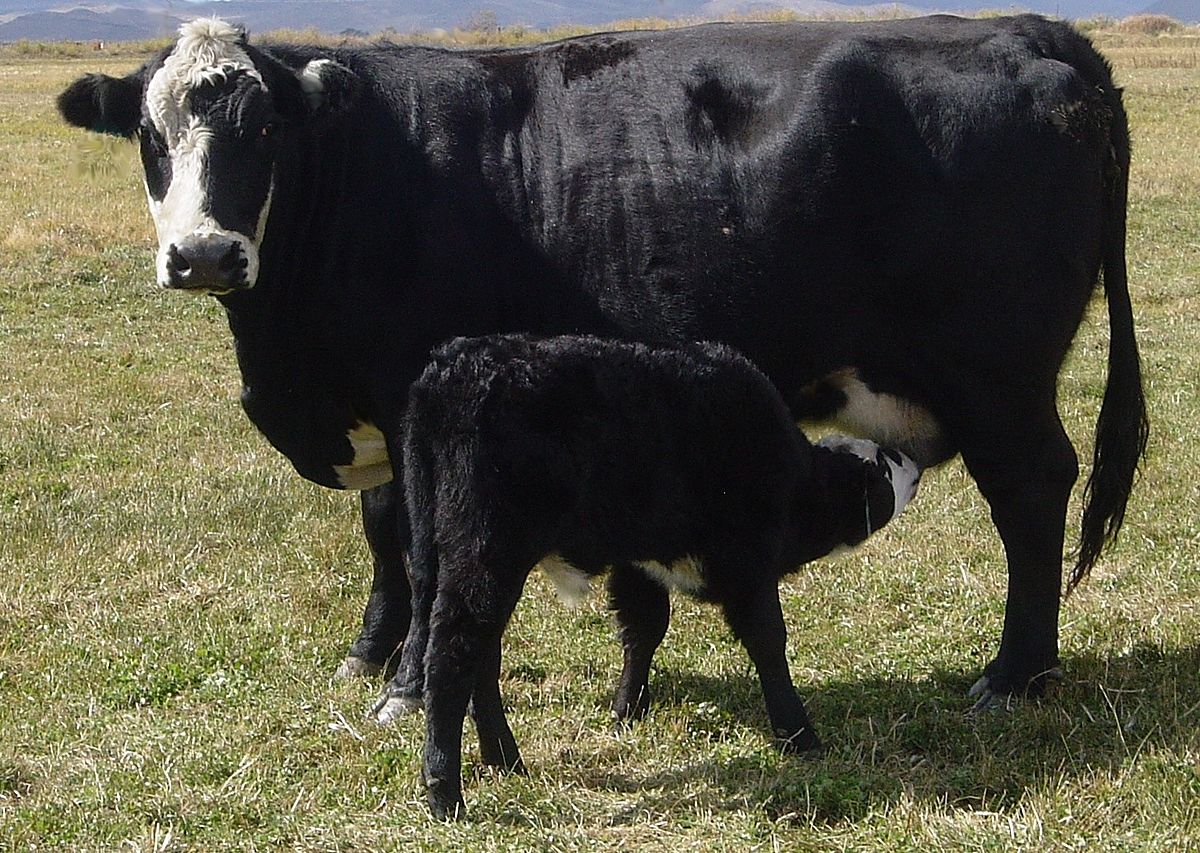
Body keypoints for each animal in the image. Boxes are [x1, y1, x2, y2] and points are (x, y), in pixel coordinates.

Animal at [56, 14, 1146, 723]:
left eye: (264, 129)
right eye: (150, 136)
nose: (203, 254)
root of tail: (1032, 31)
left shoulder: (417, 401)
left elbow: (417, 544)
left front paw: (405, 686)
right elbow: (379, 537)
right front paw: (368, 655)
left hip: (997, 375)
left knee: (1033, 491)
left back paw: (1014, 673)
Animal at [402, 334, 921, 817]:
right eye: (881, 467)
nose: (913, 462)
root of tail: (453, 364)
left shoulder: (640, 565)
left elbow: (643, 628)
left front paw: (626, 711)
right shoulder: (748, 563)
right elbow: (768, 641)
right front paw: (798, 735)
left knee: (481, 656)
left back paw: (505, 761)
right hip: (485, 553)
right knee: (451, 656)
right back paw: (446, 793)